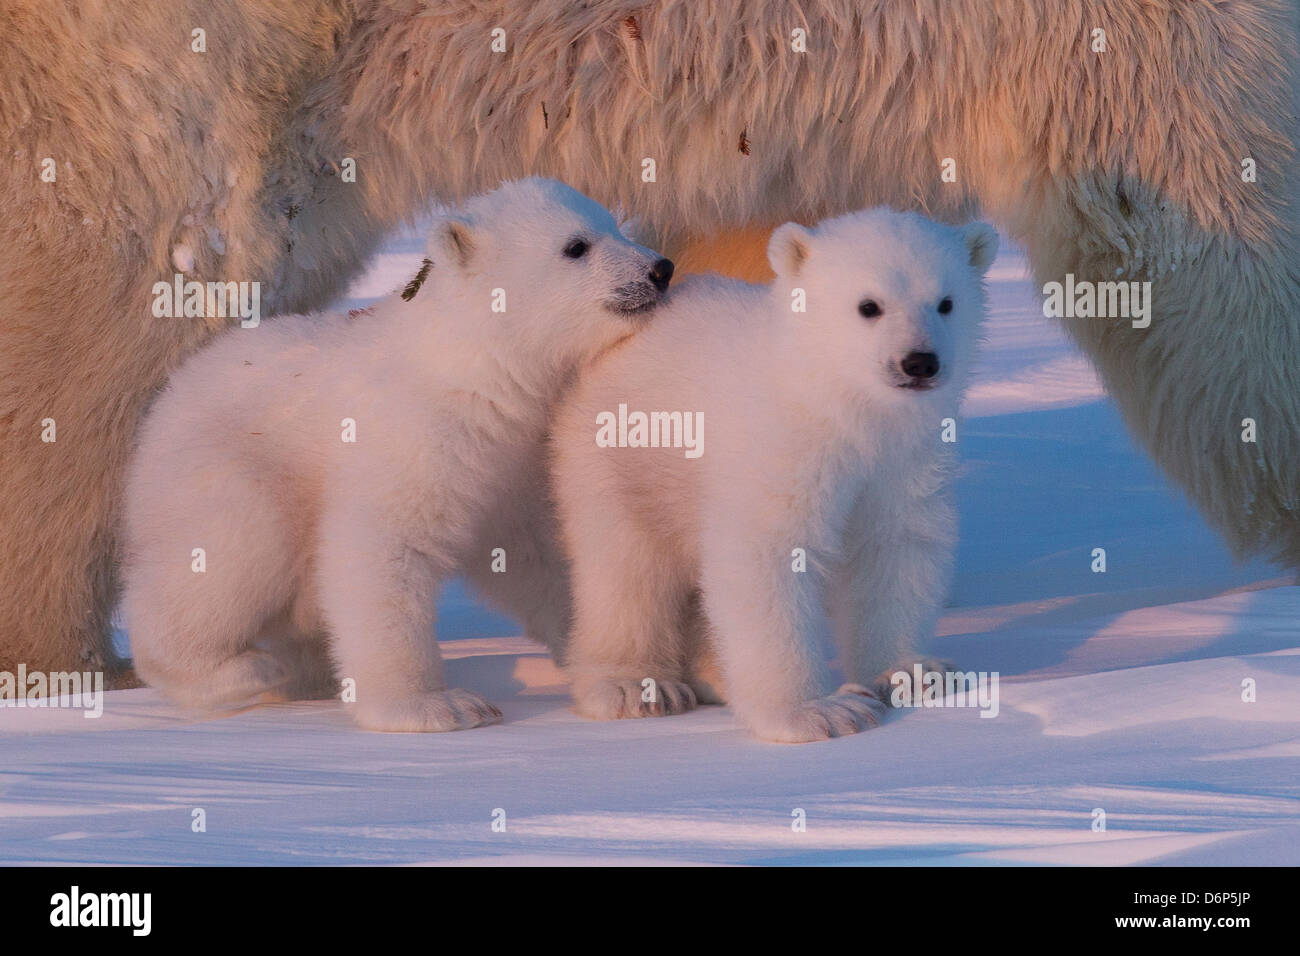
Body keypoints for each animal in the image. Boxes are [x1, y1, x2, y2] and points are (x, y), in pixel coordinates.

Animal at [121, 178, 673, 731]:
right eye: (576, 246)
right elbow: (384, 547)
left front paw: (624, 677)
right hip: (221, 463)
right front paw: (438, 705)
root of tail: (163, 406)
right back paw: (240, 669)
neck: (476, 371)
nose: (661, 268)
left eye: (615, 224)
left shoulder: (517, 459)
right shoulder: (414, 434)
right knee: (236, 543)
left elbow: (539, 553)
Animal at [550, 208, 998, 742]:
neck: (834, 399)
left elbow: (895, 546)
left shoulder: (904, 460)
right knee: (626, 568)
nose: (919, 362)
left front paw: (915, 674)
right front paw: (820, 711)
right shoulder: (782, 447)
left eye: (946, 302)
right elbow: (768, 555)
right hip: (622, 460)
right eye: (869, 306)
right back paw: (633, 687)